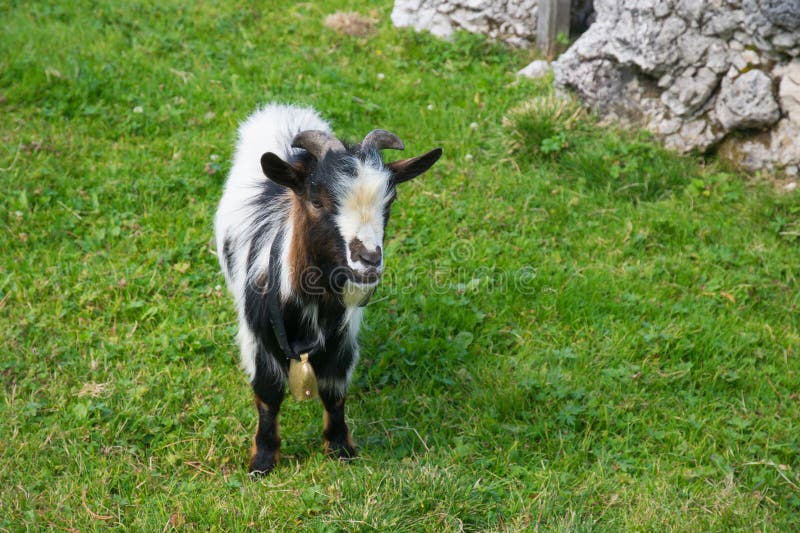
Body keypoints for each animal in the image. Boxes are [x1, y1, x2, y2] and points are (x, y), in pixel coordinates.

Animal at [214, 104, 442, 475]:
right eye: (317, 200)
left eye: (389, 201)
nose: (369, 259)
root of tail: (284, 109)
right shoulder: (258, 338)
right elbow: (268, 394)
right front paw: (262, 460)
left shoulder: (342, 337)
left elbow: (334, 390)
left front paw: (339, 447)